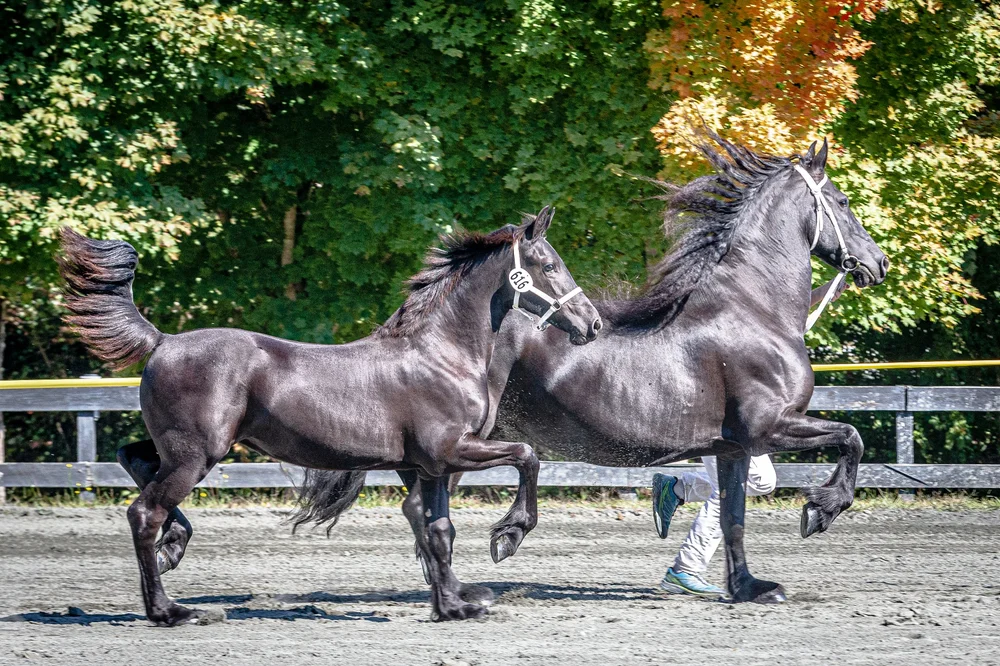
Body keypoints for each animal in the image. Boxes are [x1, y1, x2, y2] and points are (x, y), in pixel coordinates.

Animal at [58, 207, 603, 625]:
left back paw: (175, 544)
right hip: (197, 454)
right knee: (143, 512)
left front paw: (454, 607)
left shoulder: (428, 467)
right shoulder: (451, 451)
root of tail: (163, 342)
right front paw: (507, 537)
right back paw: (171, 610)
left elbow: (438, 531)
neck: (442, 355)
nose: (593, 324)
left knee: (133, 460)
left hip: (181, 449)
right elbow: (527, 456)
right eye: (550, 264)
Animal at [325, 133, 890, 604]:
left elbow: (733, 517)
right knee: (423, 508)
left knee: (419, 508)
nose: (878, 264)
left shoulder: (734, 447)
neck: (753, 310)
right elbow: (852, 437)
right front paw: (819, 511)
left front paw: (750, 587)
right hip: (463, 443)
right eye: (842, 202)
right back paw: (475, 567)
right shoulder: (768, 427)